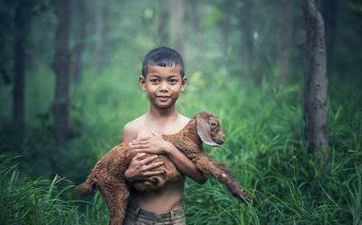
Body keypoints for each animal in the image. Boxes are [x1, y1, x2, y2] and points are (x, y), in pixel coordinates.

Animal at [76, 111, 252, 225]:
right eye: (213, 124)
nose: (223, 138)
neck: (188, 138)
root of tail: (93, 174)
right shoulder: (196, 157)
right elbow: (220, 173)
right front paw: (242, 195)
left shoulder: (200, 157)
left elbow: (223, 167)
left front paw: (243, 194)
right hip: (114, 189)